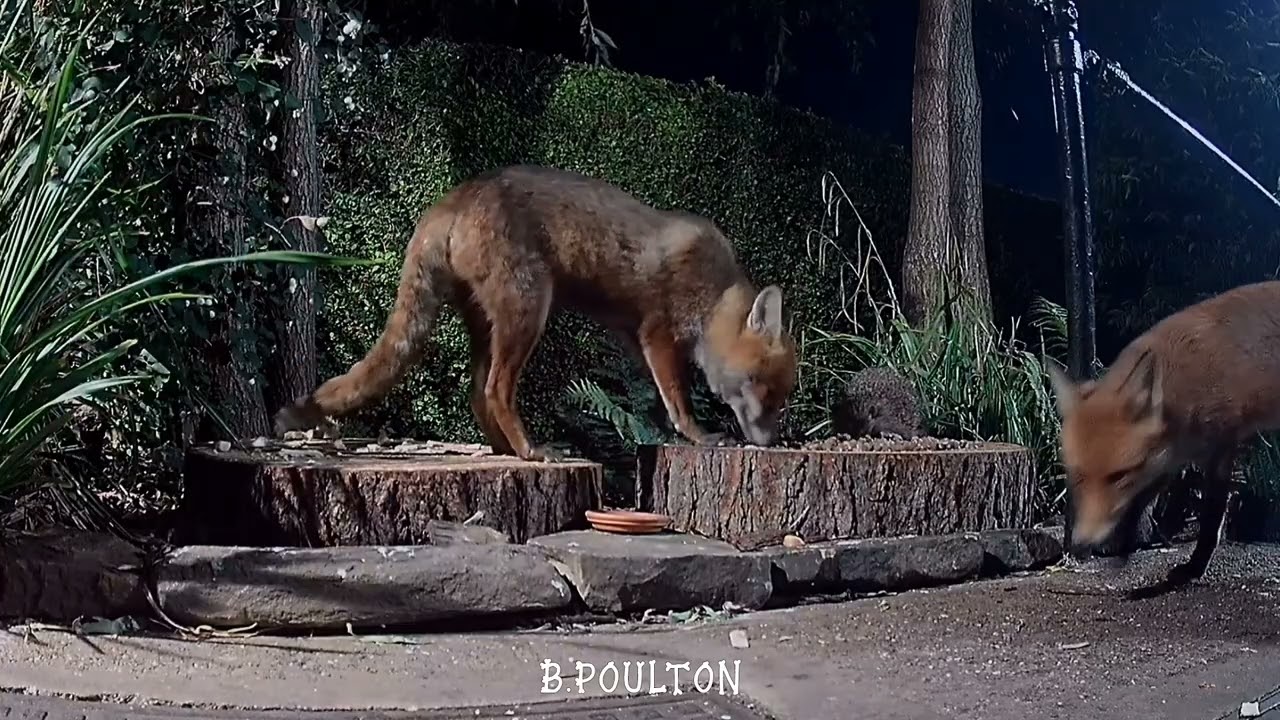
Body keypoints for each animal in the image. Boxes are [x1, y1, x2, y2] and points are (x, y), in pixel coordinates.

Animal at [273, 165, 799, 462]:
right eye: (765, 392)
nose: (770, 443)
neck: (713, 291)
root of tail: (459, 193)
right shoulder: (658, 333)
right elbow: (679, 401)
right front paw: (700, 436)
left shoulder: (635, 338)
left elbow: (655, 399)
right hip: (528, 310)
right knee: (495, 390)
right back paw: (529, 451)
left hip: (489, 323)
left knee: (477, 393)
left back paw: (506, 451)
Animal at [1046, 280, 1280, 588]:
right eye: (1078, 476)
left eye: (1118, 476)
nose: (1082, 544)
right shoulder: (1171, 457)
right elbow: (1143, 501)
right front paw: (1127, 545)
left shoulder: (1221, 447)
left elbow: (1211, 515)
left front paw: (1194, 567)